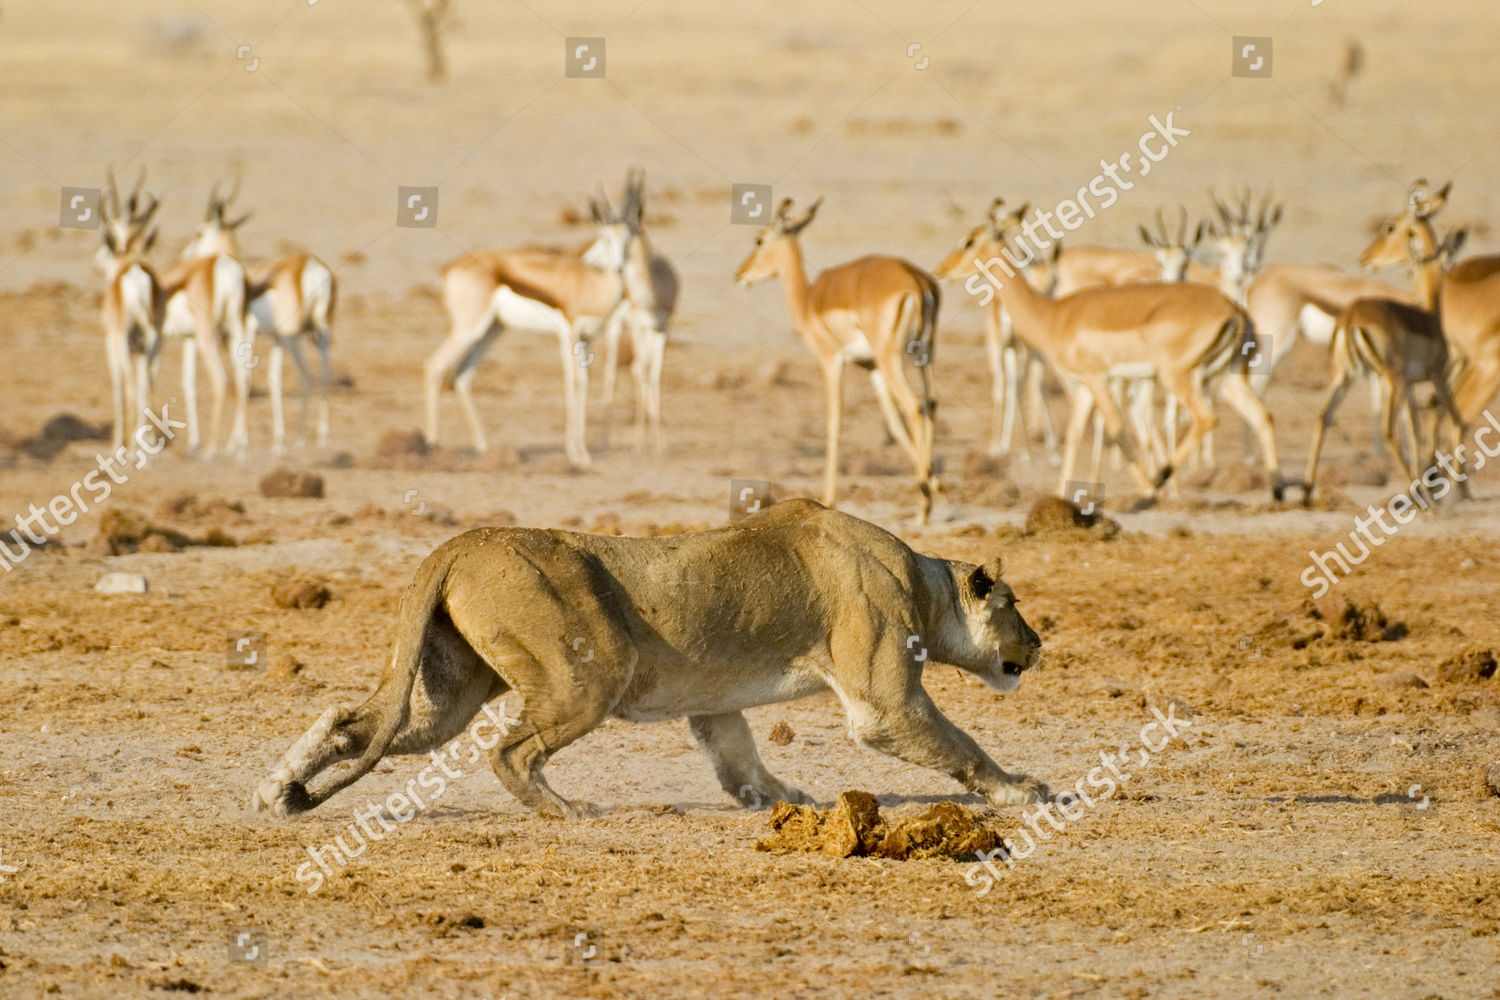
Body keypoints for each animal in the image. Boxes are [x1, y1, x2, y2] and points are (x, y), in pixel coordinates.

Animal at [253, 499, 1048, 819]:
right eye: (1014, 606)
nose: (1039, 644)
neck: (925, 583)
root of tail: (460, 541)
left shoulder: (715, 704)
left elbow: (739, 758)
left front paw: (785, 799)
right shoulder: (884, 701)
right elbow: (959, 744)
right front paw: (1021, 790)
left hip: (452, 693)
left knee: (351, 721)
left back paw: (277, 789)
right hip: (590, 672)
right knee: (511, 752)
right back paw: (568, 809)